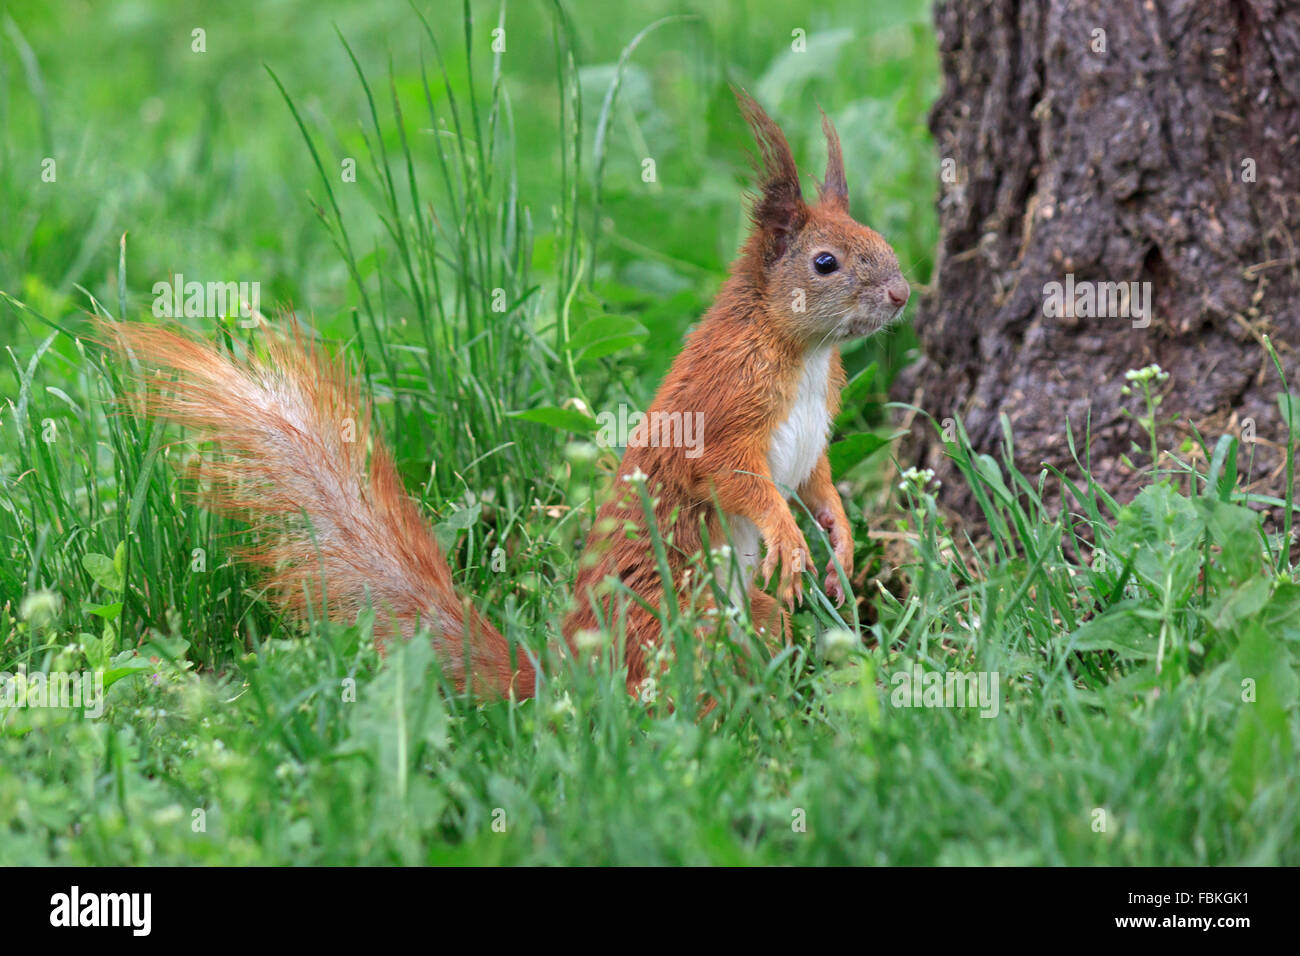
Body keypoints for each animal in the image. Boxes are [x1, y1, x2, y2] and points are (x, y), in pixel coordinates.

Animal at [103, 92, 909, 700]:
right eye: (826, 262)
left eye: (880, 237)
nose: (903, 294)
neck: (803, 352)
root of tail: (562, 680)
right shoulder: (724, 403)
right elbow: (735, 475)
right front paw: (787, 536)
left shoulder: (815, 424)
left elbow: (818, 477)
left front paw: (836, 537)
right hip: (686, 612)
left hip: (749, 617)